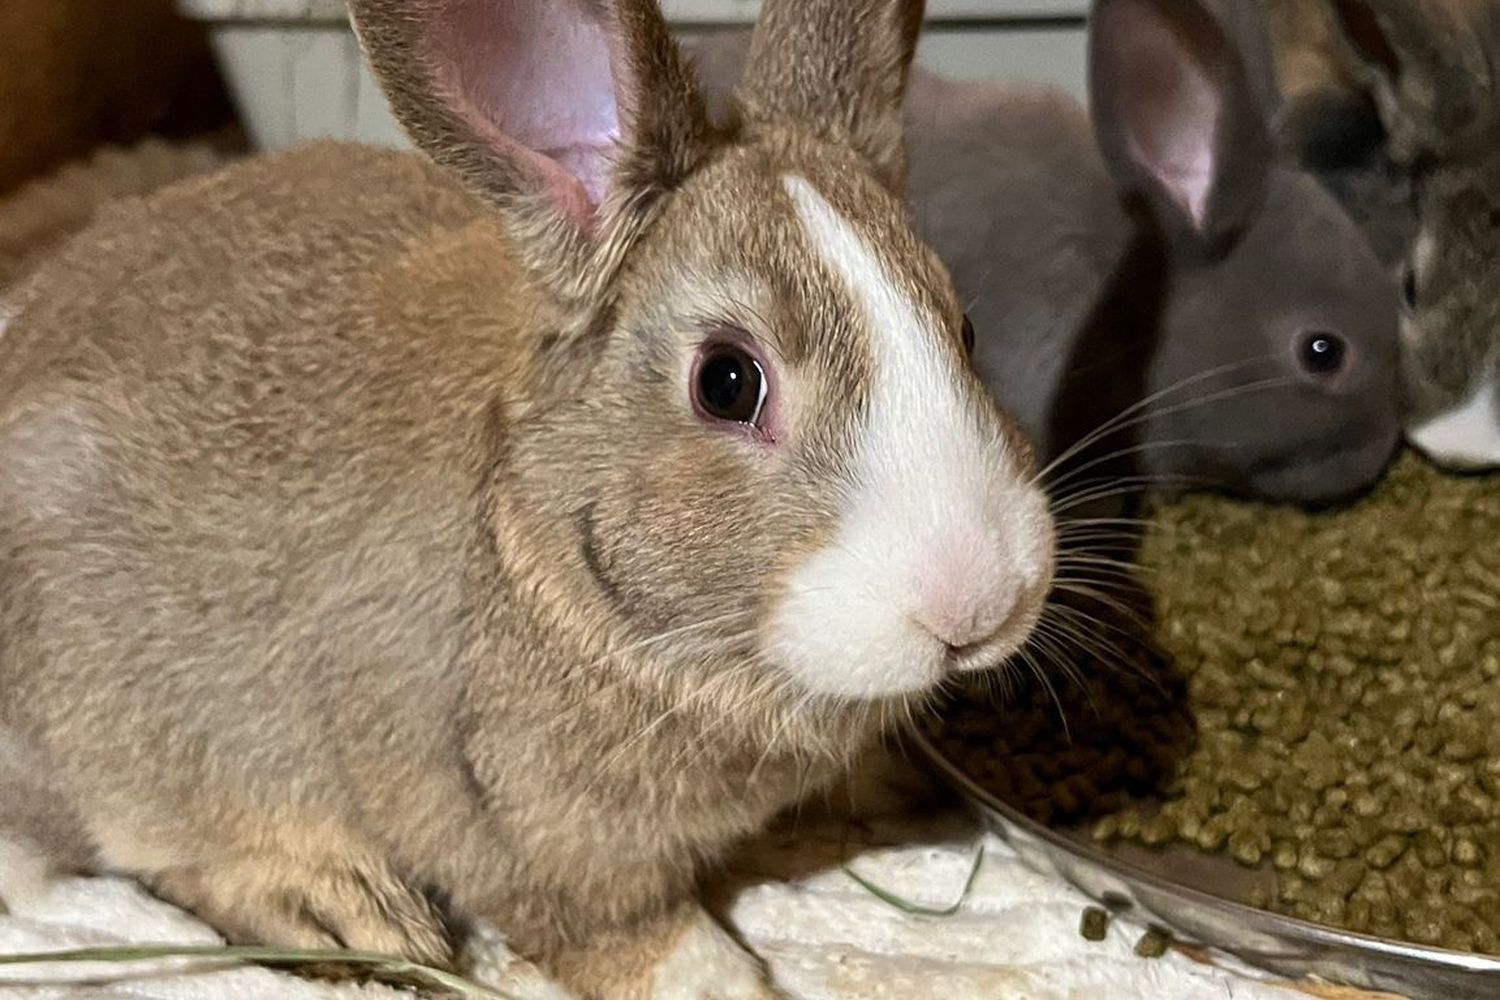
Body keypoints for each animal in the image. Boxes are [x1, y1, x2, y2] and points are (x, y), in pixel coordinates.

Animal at [0, 0, 1056, 997]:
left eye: (964, 329)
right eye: (727, 382)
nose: (978, 604)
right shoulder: (524, 837)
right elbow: (619, 933)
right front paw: (725, 981)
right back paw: (344, 908)